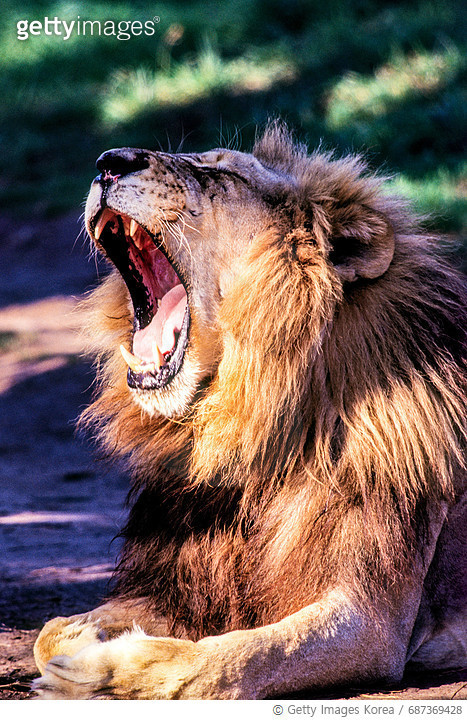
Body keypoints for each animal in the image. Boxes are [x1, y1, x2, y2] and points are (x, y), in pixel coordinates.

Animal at [33, 123, 466, 699]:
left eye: (221, 173)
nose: (108, 162)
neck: (247, 425)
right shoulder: (184, 579)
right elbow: (49, 632)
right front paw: (83, 636)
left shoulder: (373, 619)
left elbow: (231, 658)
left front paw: (100, 670)